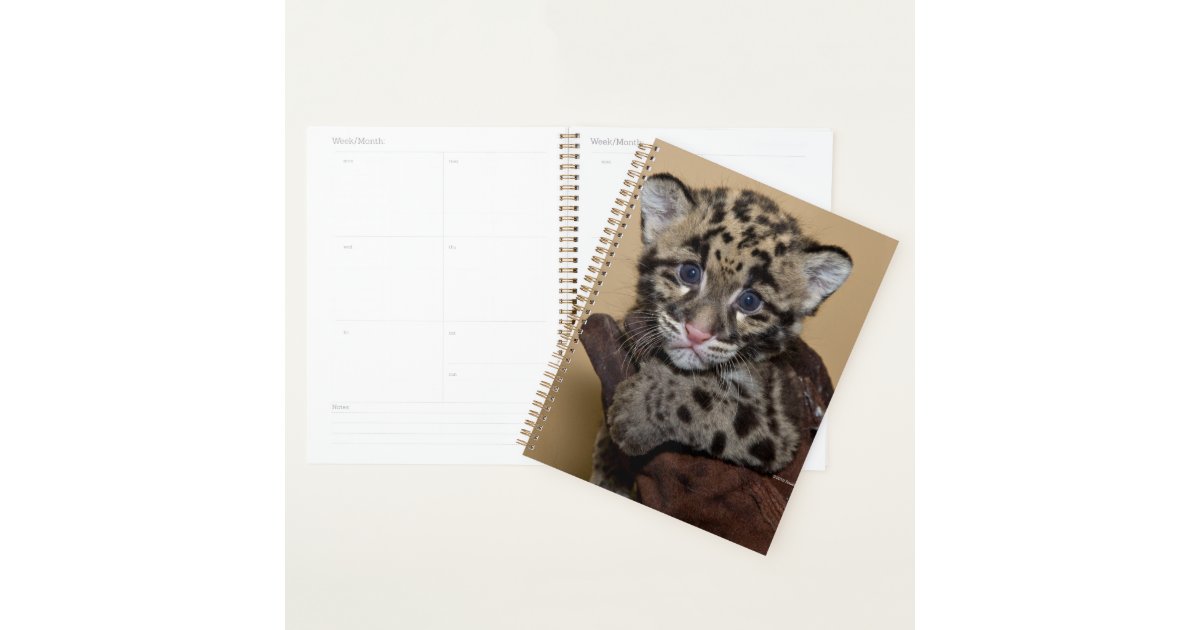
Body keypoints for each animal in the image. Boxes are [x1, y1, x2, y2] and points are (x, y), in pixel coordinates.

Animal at [590, 172, 852, 496]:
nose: (697, 333)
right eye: (690, 273)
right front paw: (608, 470)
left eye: (750, 301)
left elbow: (706, 400)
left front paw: (636, 412)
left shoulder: (780, 418)